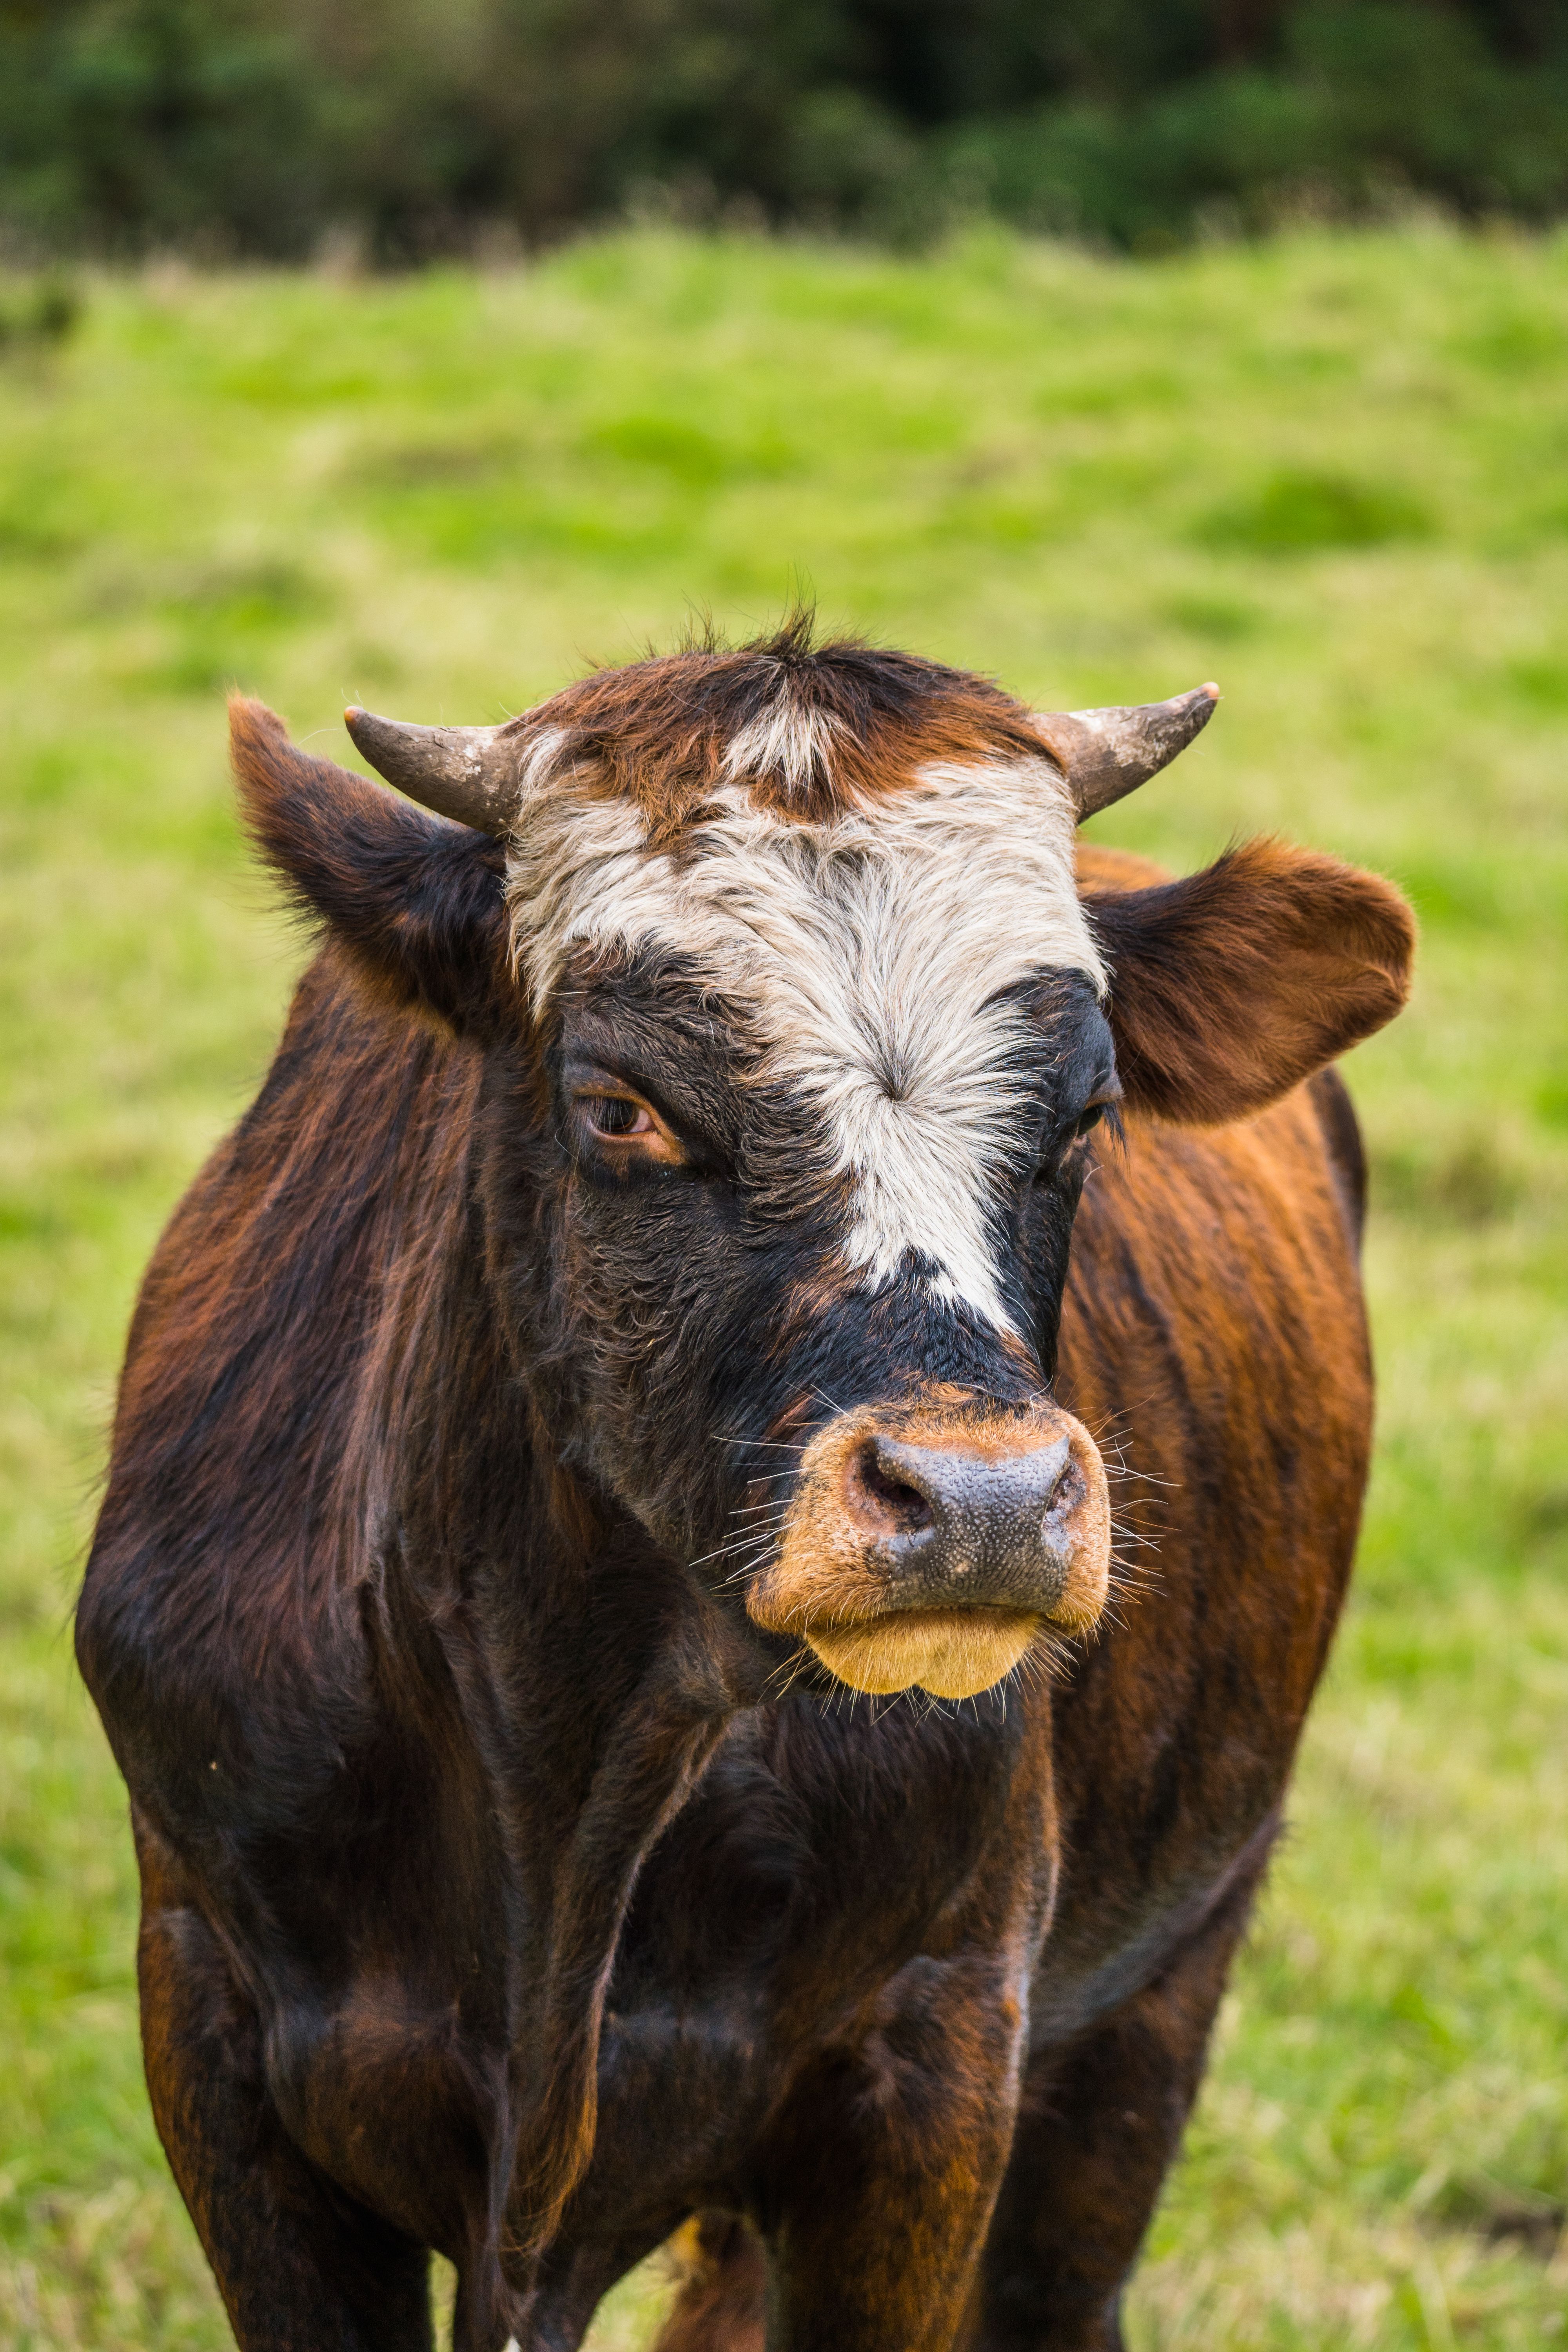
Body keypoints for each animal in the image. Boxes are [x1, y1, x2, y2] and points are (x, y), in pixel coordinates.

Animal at [78, 618, 1414, 2352]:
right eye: (619, 1105)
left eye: (1087, 1114)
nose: (980, 1505)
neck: (572, 1759)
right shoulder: (217, 2024)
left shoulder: (934, 2063)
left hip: (1166, 1979)